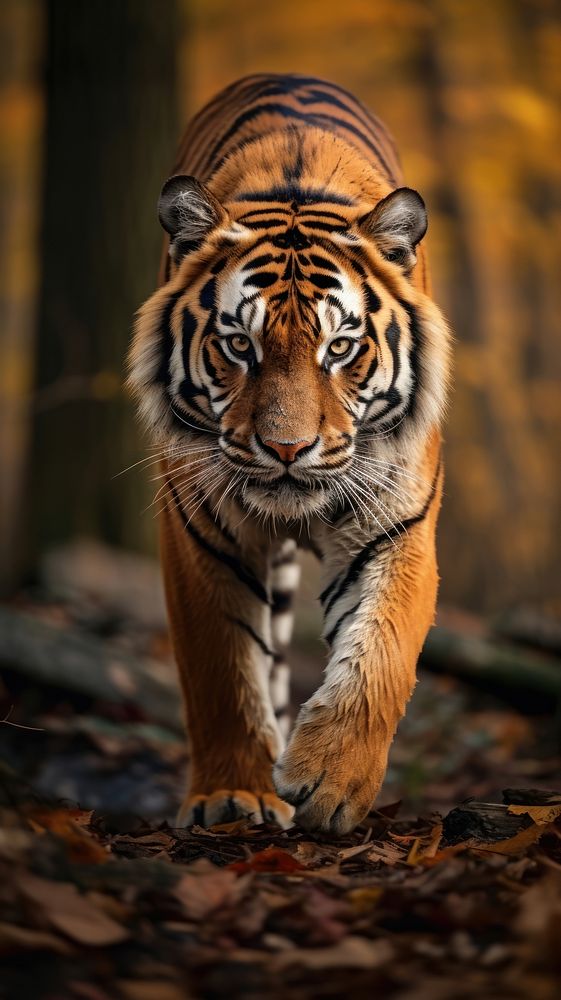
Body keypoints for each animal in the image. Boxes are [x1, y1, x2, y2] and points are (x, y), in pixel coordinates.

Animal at [128, 73, 451, 835]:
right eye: (238, 344)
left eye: (340, 347)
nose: (285, 448)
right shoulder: (202, 534)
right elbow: (222, 668)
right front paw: (234, 794)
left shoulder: (396, 526)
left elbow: (381, 654)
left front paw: (330, 781)